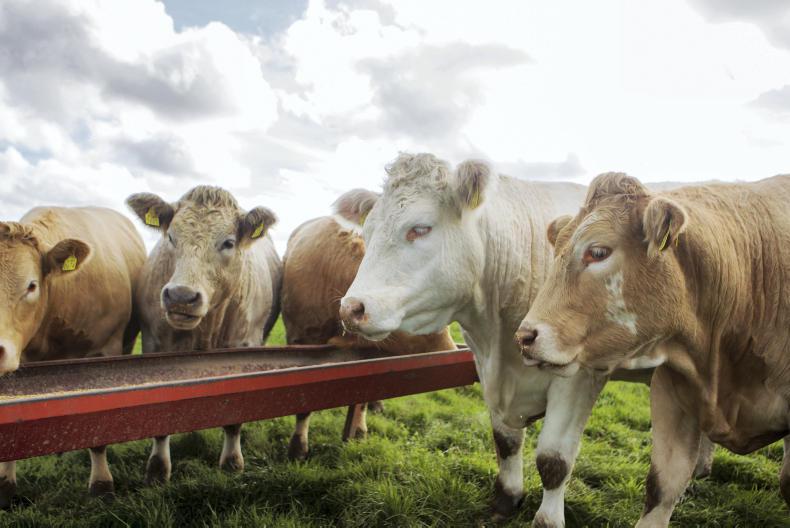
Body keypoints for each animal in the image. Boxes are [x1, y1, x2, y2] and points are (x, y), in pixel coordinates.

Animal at [126, 186, 282, 485]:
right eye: (171, 236)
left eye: (228, 243)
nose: (180, 296)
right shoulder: (154, 346)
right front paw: (158, 470)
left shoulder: (244, 349)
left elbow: (234, 420)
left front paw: (232, 462)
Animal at [281, 190, 456, 460]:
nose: (451, 349)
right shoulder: (302, 340)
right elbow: (304, 405)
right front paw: (298, 447)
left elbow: (363, 394)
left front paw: (359, 431)